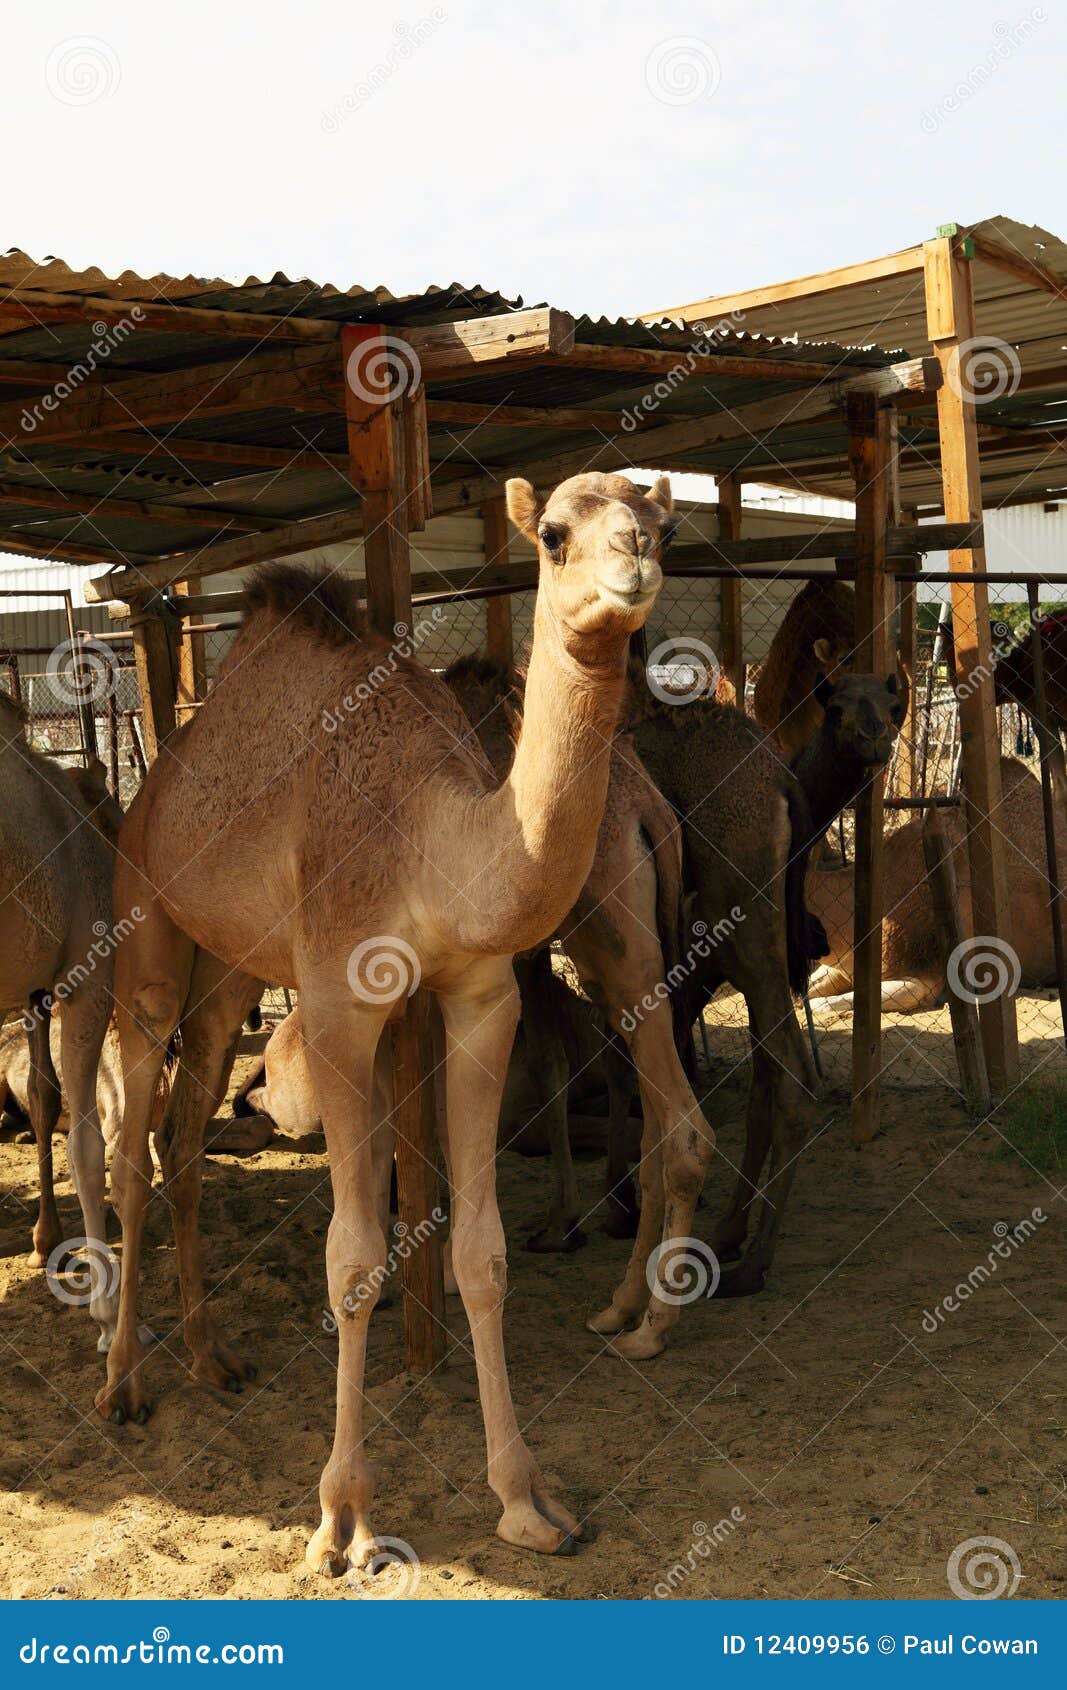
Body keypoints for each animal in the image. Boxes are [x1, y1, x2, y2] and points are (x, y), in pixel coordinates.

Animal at [96, 469, 675, 1573]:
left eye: (659, 522)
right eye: (551, 533)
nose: (631, 565)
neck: (431, 841)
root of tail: (157, 773)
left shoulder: (481, 997)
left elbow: (480, 1250)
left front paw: (528, 1502)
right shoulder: (333, 1001)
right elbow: (354, 1257)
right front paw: (342, 1520)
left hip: (230, 968)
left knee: (185, 1137)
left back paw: (211, 1358)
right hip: (147, 913)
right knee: (133, 1144)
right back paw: (121, 1386)